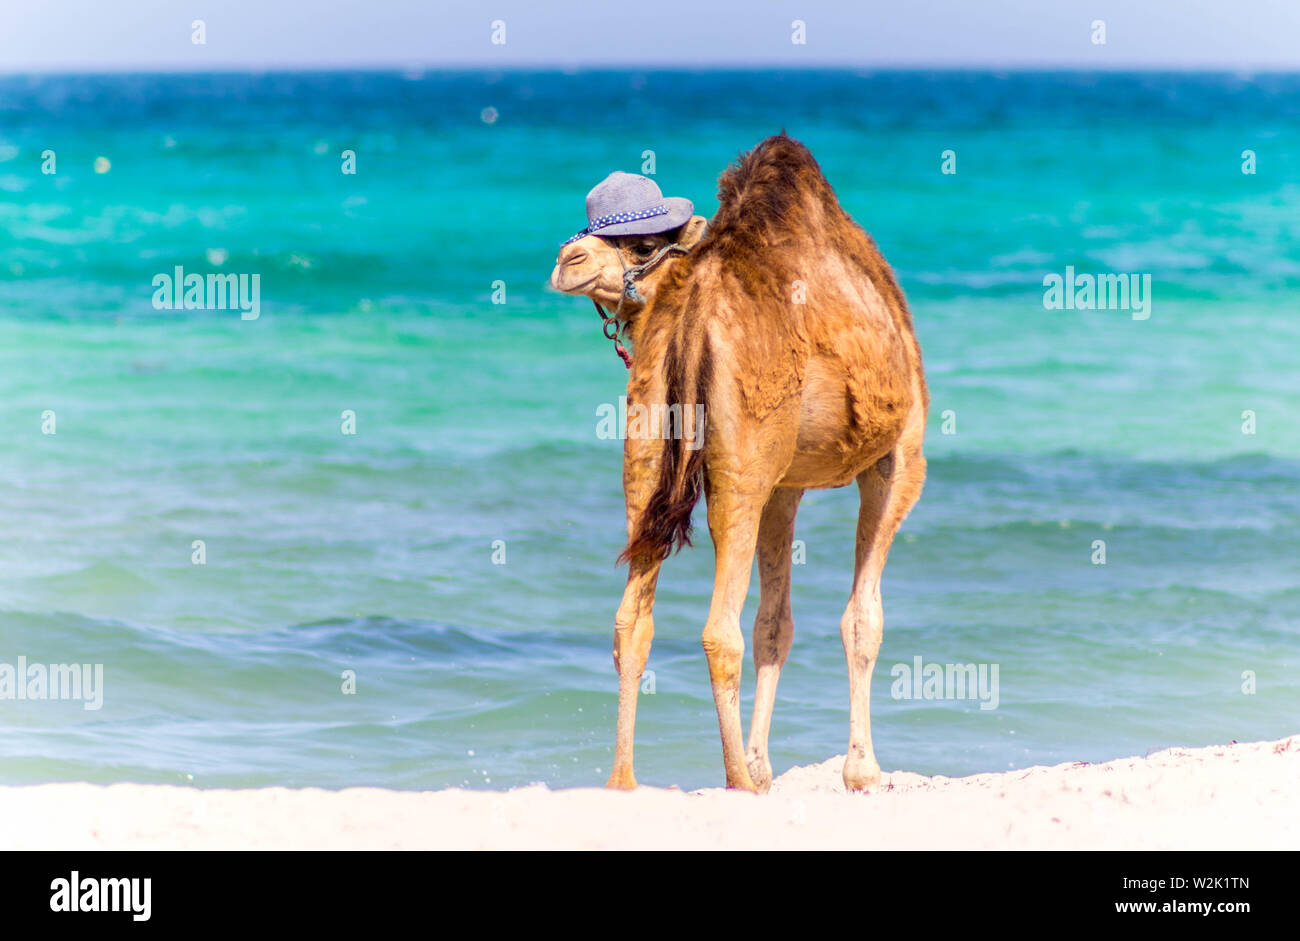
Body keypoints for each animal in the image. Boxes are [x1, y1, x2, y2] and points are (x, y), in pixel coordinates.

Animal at [550, 134, 928, 792]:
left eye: (642, 244)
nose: (567, 258)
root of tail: (692, 316)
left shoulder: (785, 482)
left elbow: (775, 624)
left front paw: (763, 762)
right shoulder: (899, 455)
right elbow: (862, 620)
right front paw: (860, 771)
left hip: (646, 442)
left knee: (632, 619)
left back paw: (624, 779)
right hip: (743, 456)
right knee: (718, 628)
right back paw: (736, 783)